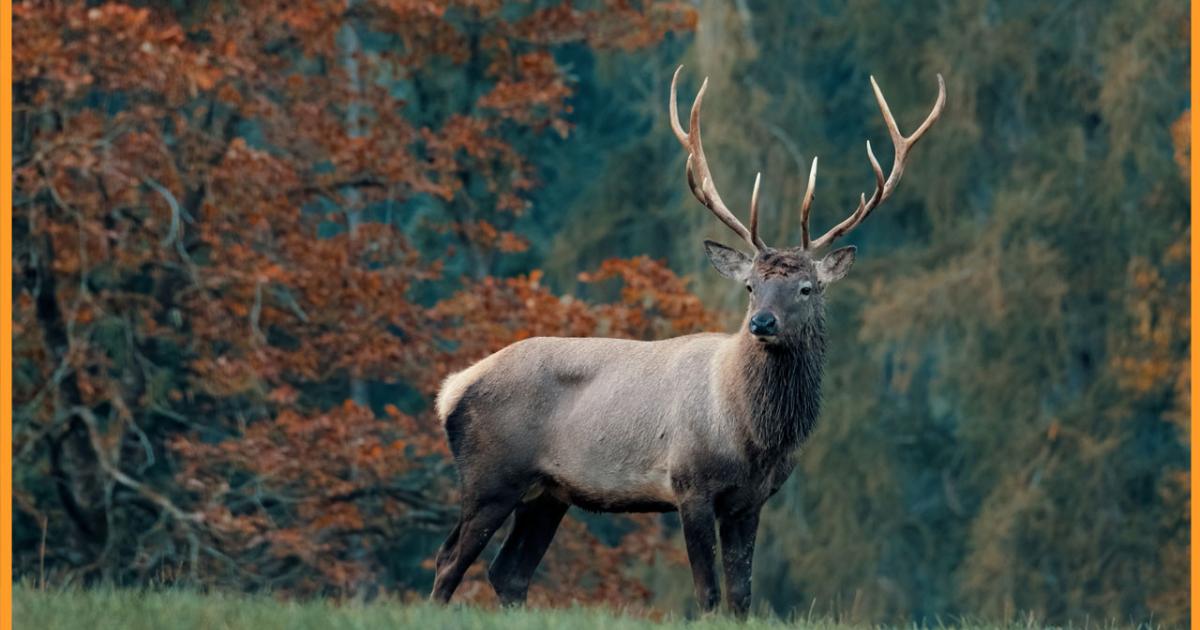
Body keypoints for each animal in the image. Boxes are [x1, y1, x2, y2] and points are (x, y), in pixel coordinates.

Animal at [429, 66, 945, 616]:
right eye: (751, 285)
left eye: (806, 288)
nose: (762, 322)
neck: (752, 435)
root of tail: (451, 390)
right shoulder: (689, 482)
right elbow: (709, 593)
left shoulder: (751, 500)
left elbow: (741, 595)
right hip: (491, 475)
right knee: (449, 559)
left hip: (549, 493)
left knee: (508, 573)